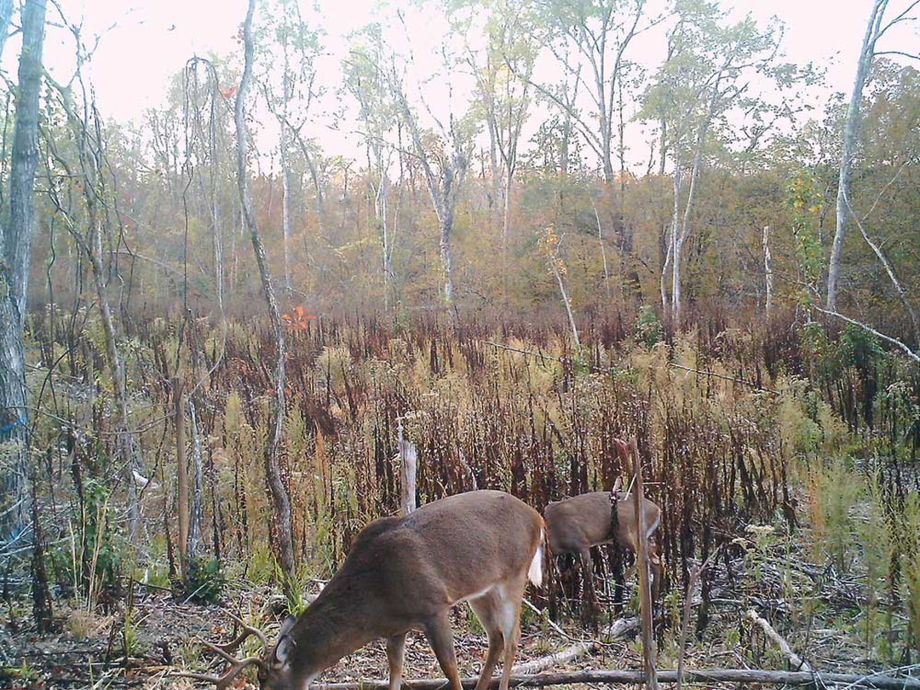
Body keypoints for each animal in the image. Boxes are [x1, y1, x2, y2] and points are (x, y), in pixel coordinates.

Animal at [188, 489, 545, 690]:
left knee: (513, 640)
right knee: (497, 638)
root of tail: (538, 516)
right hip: (482, 592)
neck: (376, 596)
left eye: (266, 682)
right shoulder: (396, 627)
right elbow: (395, 673)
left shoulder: (432, 606)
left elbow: (451, 670)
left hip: (514, 575)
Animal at [543, 438, 663, 619]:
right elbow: (572, 570)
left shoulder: (581, 542)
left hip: (627, 533)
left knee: (652, 559)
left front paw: (597, 610)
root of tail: (657, 510)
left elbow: (588, 574)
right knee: (654, 556)